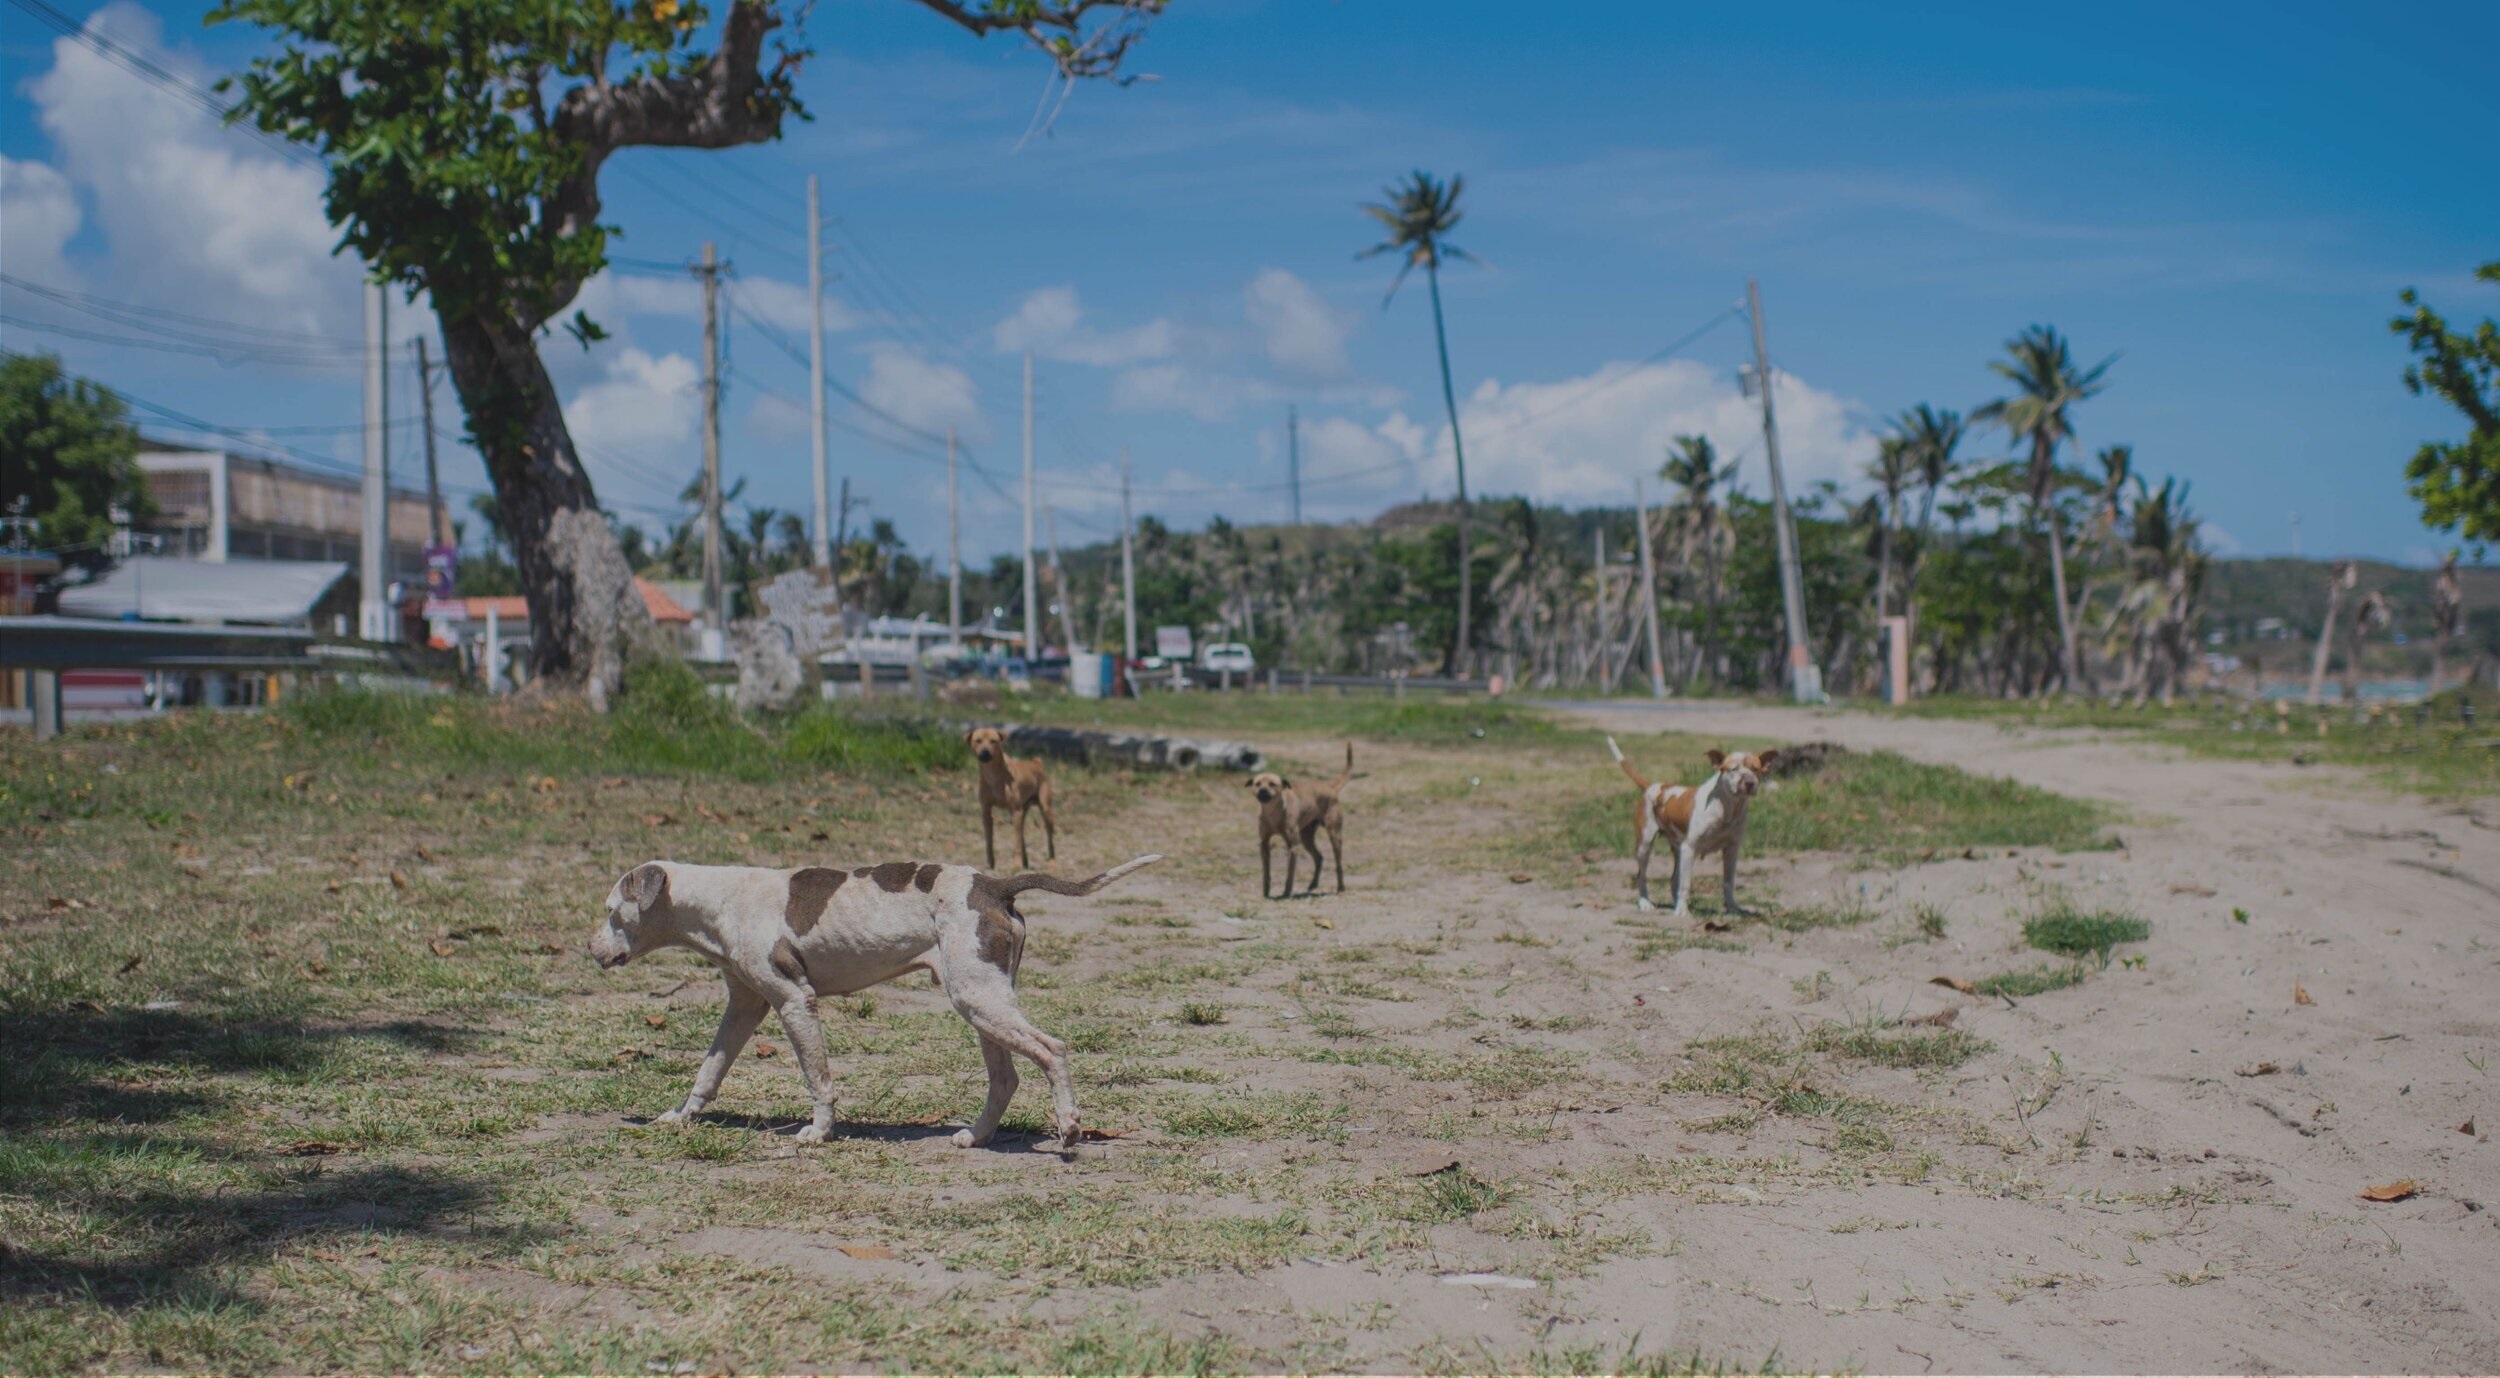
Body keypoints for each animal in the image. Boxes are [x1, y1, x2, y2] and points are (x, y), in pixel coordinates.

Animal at [587, 850, 1160, 1155]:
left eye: (612, 910)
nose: (589, 949)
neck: (719, 901)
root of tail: (994, 885)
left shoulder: (795, 1000)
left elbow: (818, 1079)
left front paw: (818, 1133)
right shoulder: (744, 1007)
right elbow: (708, 1072)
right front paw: (680, 1117)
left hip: (980, 1000)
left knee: (1053, 1049)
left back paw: (1069, 1127)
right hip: (982, 1001)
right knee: (1006, 1078)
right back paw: (976, 1137)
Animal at [965, 730, 1055, 870]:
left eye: (993, 741)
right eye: (978, 740)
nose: (985, 752)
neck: (994, 776)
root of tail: (1037, 763)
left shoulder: (1015, 811)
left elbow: (1016, 842)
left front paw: (1016, 865)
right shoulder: (986, 811)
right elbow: (989, 841)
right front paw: (990, 864)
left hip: (1044, 809)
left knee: (1048, 835)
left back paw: (1051, 861)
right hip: (1022, 811)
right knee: (1021, 834)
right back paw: (1025, 862)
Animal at [1245, 740, 1360, 900]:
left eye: (1272, 784)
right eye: (1257, 784)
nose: (1262, 791)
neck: (1274, 812)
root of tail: (1329, 786)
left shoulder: (1293, 846)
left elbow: (1290, 875)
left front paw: (1286, 893)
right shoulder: (1264, 844)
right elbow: (1266, 873)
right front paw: (1266, 893)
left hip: (1334, 834)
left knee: (1338, 864)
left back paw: (1340, 888)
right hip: (1306, 838)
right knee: (1319, 858)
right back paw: (1313, 884)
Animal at [1600, 740, 1780, 920]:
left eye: (1756, 769)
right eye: (1733, 769)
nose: (1749, 783)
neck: (1726, 807)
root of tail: (1652, 787)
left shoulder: (1731, 850)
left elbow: (1728, 882)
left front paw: (1731, 907)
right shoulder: (1690, 848)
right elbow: (1685, 883)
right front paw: (1682, 910)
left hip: (1678, 849)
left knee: (1673, 879)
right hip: (1644, 845)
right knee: (1642, 875)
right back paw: (1646, 902)